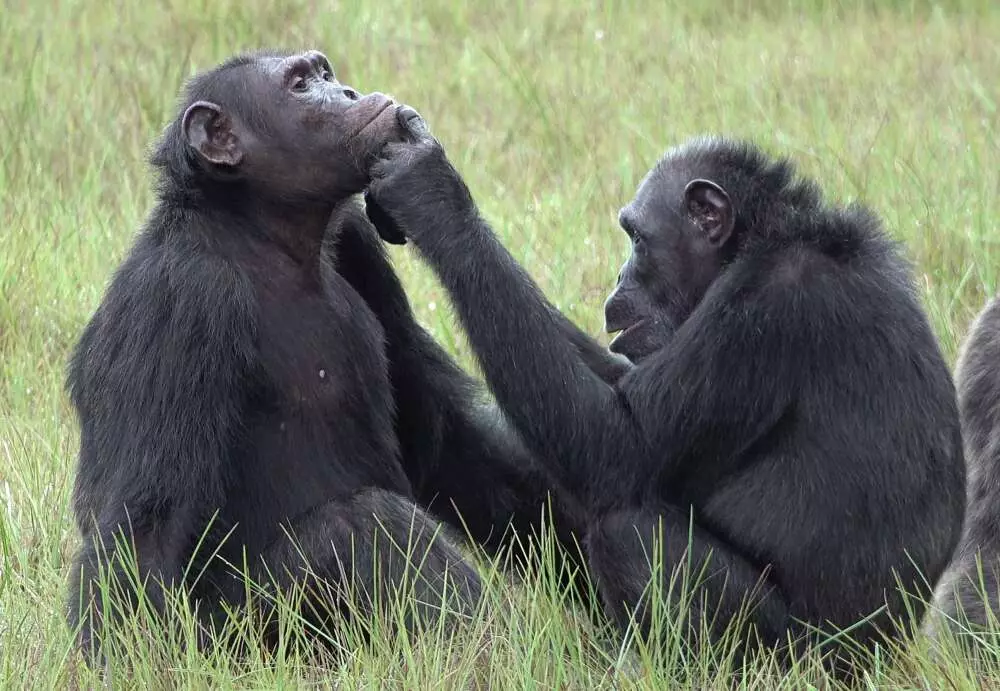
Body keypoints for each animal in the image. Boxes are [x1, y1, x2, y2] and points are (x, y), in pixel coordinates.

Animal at [64, 51, 584, 664]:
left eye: (323, 72)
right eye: (299, 85)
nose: (348, 91)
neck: (263, 235)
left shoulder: (360, 243)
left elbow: (443, 439)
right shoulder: (178, 300)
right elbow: (147, 523)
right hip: (244, 639)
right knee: (365, 525)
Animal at [366, 116, 968, 668]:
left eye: (637, 238)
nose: (618, 277)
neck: (759, 242)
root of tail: (889, 657)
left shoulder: (766, 311)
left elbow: (618, 445)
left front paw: (431, 193)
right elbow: (615, 388)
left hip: (789, 660)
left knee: (627, 530)